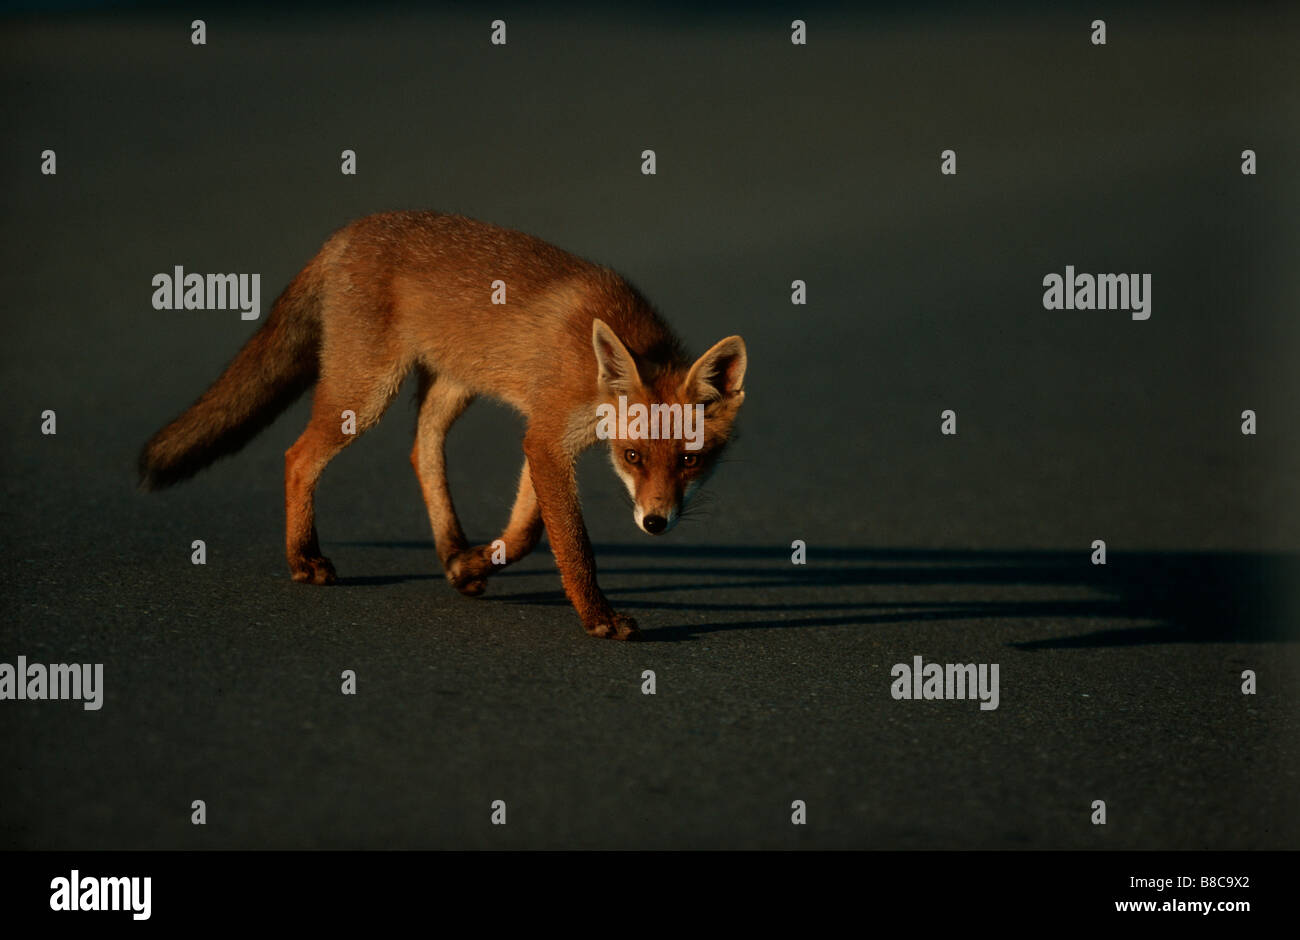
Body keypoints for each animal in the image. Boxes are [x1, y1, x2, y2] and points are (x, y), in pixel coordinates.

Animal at [138, 211, 747, 641]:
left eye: (690, 460)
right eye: (633, 457)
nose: (655, 524)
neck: (596, 361)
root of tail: (349, 230)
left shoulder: (545, 438)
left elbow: (525, 533)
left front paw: (469, 564)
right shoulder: (549, 435)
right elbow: (571, 543)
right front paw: (598, 617)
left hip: (452, 384)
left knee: (420, 449)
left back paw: (453, 549)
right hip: (366, 393)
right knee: (298, 456)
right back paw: (303, 558)